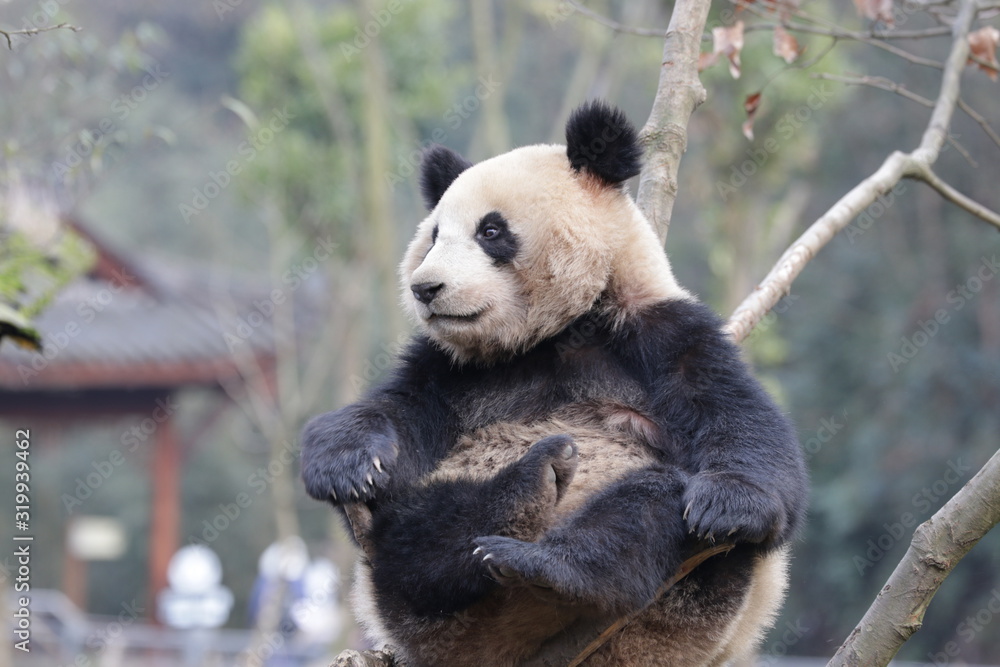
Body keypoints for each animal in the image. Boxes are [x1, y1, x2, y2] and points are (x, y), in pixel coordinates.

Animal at [300, 100, 808, 667]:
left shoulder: (662, 334)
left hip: (694, 600)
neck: (554, 334)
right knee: (410, 533)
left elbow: (743, 427)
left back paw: (547, 561)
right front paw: (346, 465)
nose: (425, 288)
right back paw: (515, 492)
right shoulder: (452, 370)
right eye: (433, 235)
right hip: (407, 598)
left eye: (490, 231)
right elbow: (396, 412)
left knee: (648, 505)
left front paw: (727, 502)